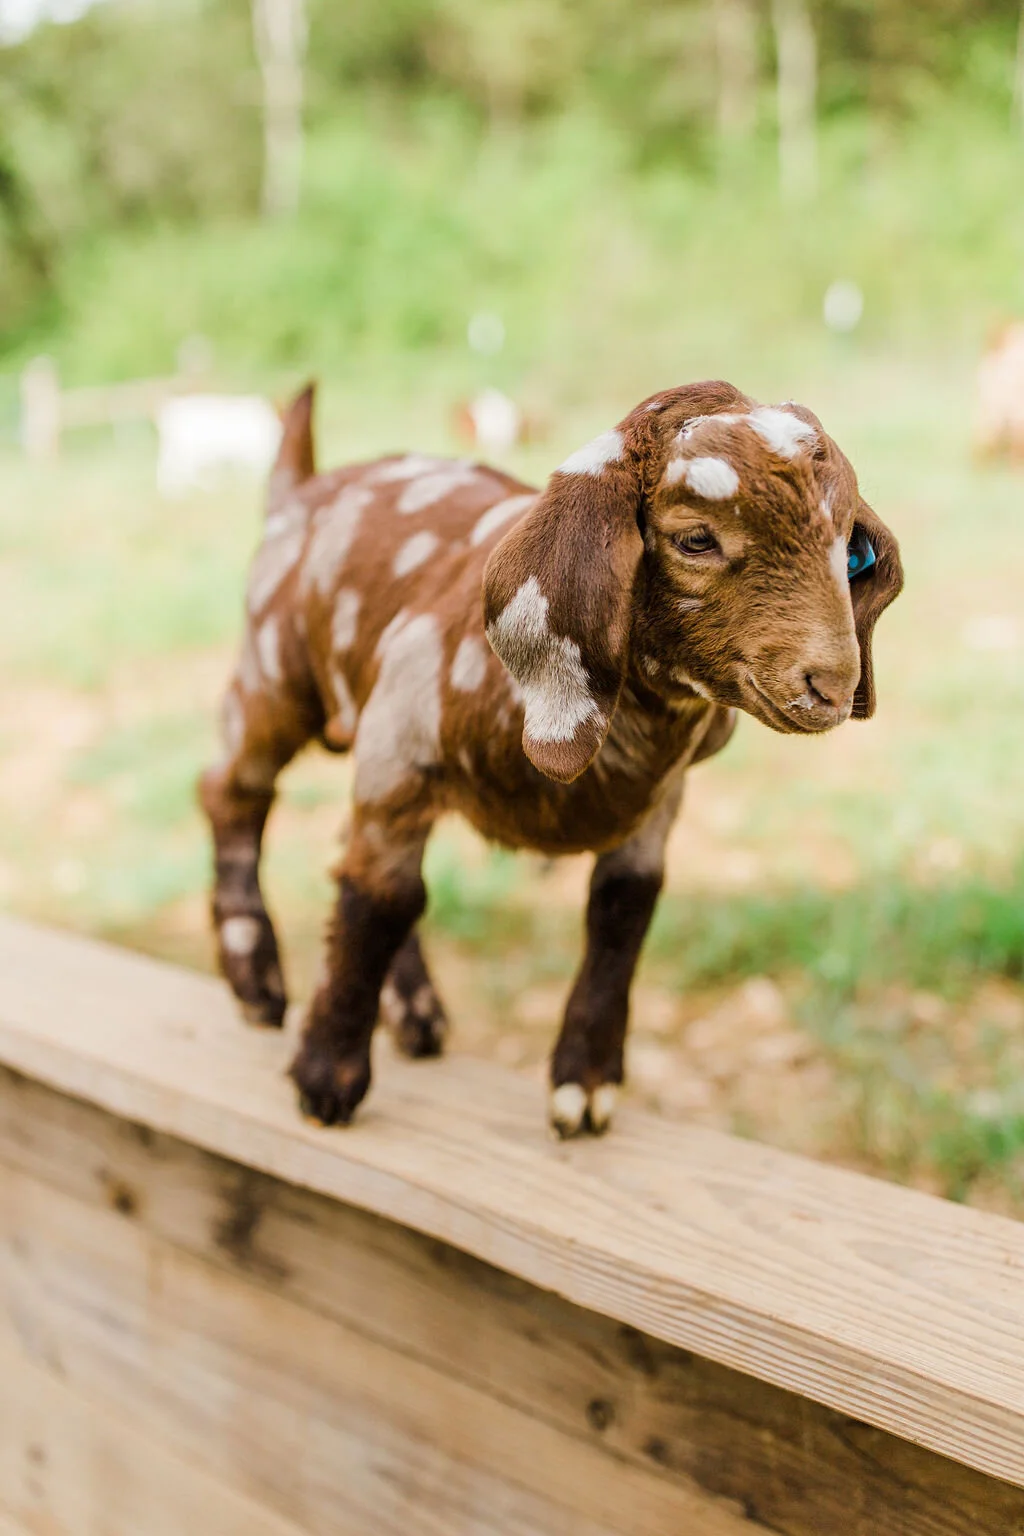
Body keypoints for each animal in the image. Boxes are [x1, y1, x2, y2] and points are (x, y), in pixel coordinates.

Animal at [199, 380, 903, 1136]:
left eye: (854, 557)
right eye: (696, 539)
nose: (833, 685)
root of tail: (301, 489)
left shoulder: (659, 802)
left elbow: (623, 905)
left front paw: (583, 1085)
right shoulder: (399, 746)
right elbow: (382, 898)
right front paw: (327, 1078)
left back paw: (411, 1011)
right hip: (274, 676)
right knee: (233, 789)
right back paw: (256, 975)